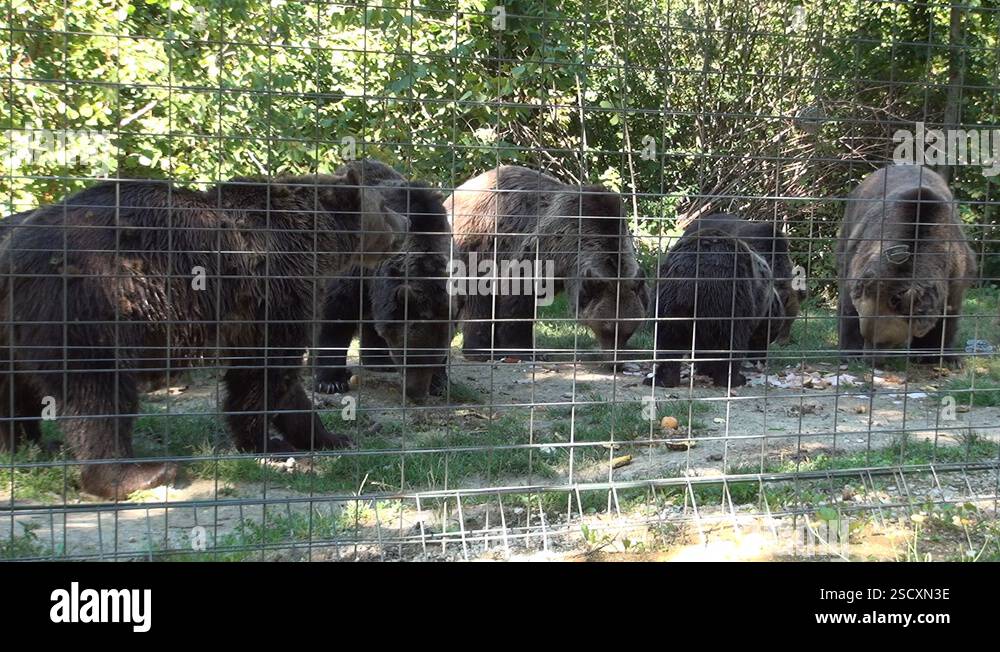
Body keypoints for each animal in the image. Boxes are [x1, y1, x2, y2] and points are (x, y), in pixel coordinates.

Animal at [0, 159, 409, 499]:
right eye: (385, 206)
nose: (406, 224)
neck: (313, 242)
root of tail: (14, 255)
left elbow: (276, 379)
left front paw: (329, 435)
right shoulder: (277, 290)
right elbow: (264, 374)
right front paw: (268, 442)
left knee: (18, 387)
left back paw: (27, 444)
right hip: (88, 304)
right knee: (97, 391)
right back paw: (136, 473)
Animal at [313, 159, 452, 402]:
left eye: (435, 356)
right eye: (407, 357)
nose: (416, 393)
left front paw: (440, 383)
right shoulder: (352, 270)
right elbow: (335, 315)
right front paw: (331, 381)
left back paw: (378, 361)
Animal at [446, 165, 648, 363]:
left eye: (629, 331)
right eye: (607, 329)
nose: (616, 362)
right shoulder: (546, 246)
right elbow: (518, 296)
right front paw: (525, 351)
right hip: (477, 243)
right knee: (478, 298)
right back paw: (479, 351)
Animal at [647, 214, 785, 387]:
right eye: (769, 336)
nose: (760, 359)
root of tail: (691, 276)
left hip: (668, 298)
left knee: (668, 340)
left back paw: (663, 378)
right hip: (728, 294)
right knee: (730, 341)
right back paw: (732, 379)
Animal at [837, 165, 976, 364]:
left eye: (885, 342)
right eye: (866, 335)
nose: (870, 360)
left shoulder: (955, 269)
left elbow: (948, 315)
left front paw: (934, 355)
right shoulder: (861, 255)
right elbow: (849, 306)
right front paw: (850, 352)